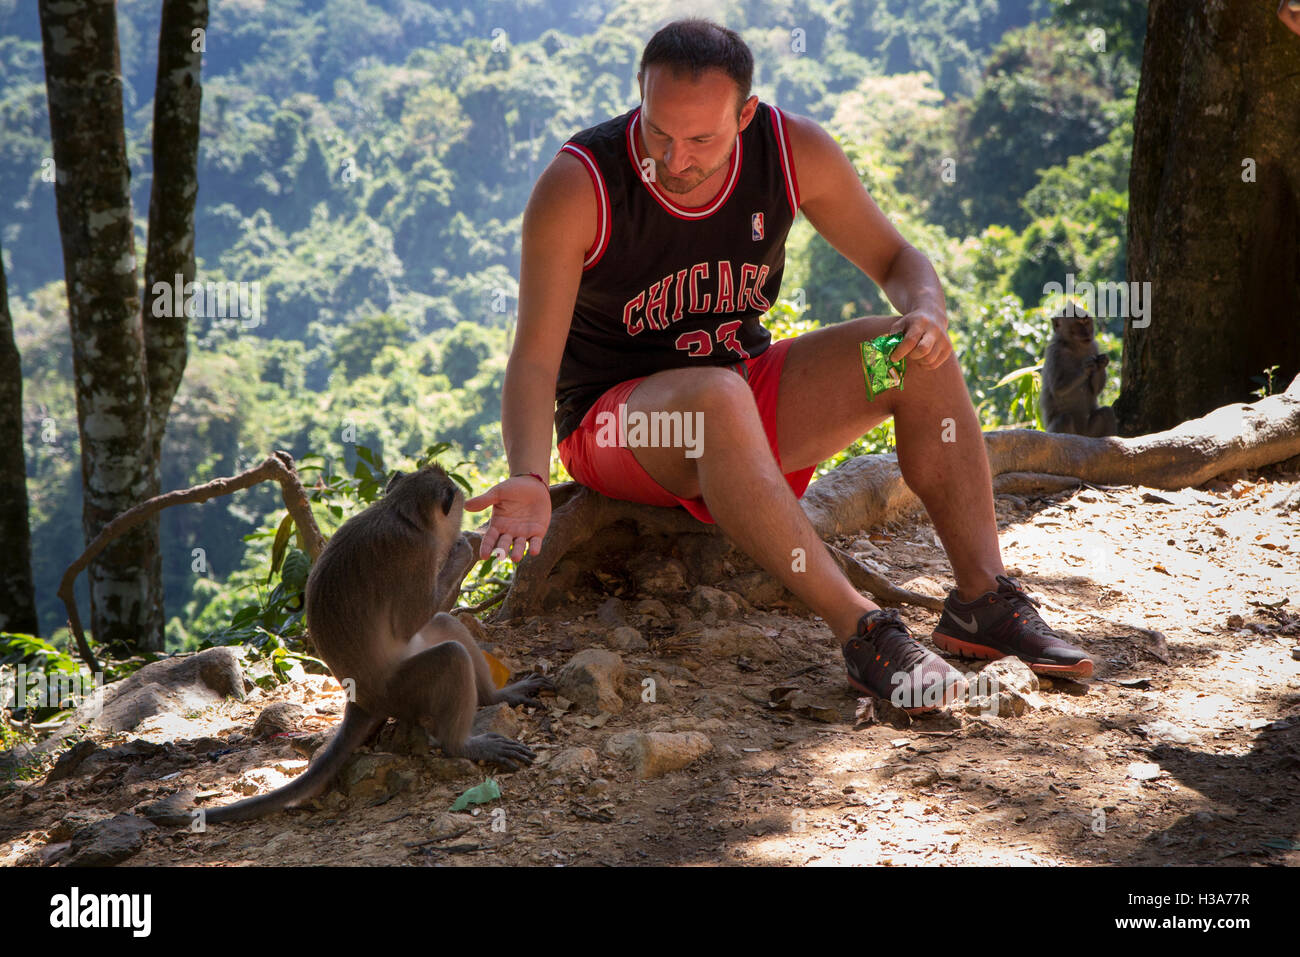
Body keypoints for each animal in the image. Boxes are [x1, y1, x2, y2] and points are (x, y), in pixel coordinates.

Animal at [152, 464, 550, 826]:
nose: (465, 520)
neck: (401, 514)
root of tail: (361, 700)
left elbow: (427, 621)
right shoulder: (416, 555)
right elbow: (408, 620)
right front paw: (465, 546)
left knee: (445, 625)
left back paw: (497, 696)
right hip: (401, 692)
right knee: (450, 657)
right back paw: (464, 744)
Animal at [1040, 307, 1118, 437]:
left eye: (1086, 322)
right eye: (1078, 324)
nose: (1087, 333)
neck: (1074, 346)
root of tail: (1082, 434)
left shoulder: (1093, 347)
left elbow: (1095, 390)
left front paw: (1101, 363)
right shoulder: (1054, 353)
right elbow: (1057, 389)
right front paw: (1085, 368)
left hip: (1090, 433)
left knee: (1106, 412)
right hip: (1052, 431)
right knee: (1064, 419)